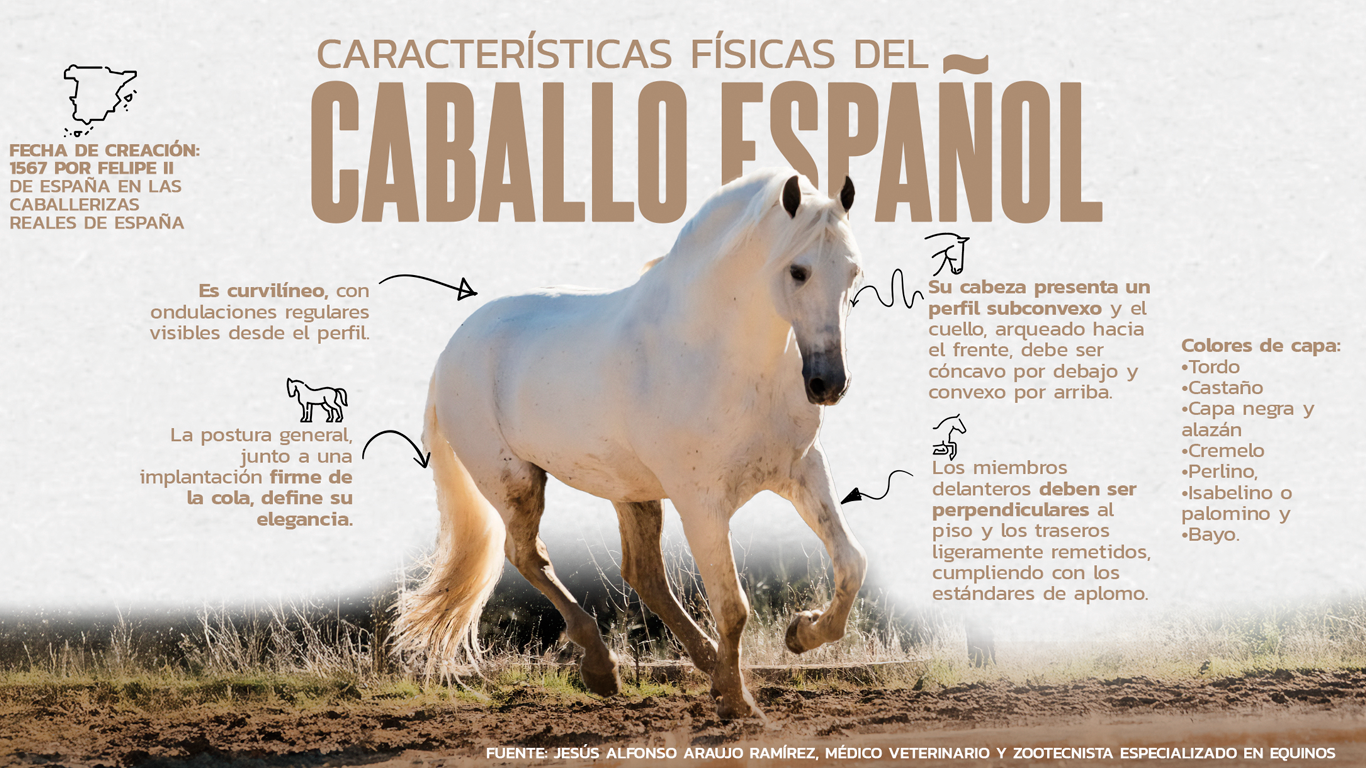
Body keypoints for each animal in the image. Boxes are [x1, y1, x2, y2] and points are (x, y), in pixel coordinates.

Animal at [396, 169, 867, 720]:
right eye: (798, 271)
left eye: (853, 271)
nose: (828, 383)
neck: (721, 355)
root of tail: (450, 351)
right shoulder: (700, 502)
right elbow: (733, 607)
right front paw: (738, 703)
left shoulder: (803, 471)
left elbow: (851, 564)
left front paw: (801, 633)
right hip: (515, 481)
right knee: (527, 554)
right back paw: (604, 666)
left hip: (630, 491)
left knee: (642, 573)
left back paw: (697, 663)